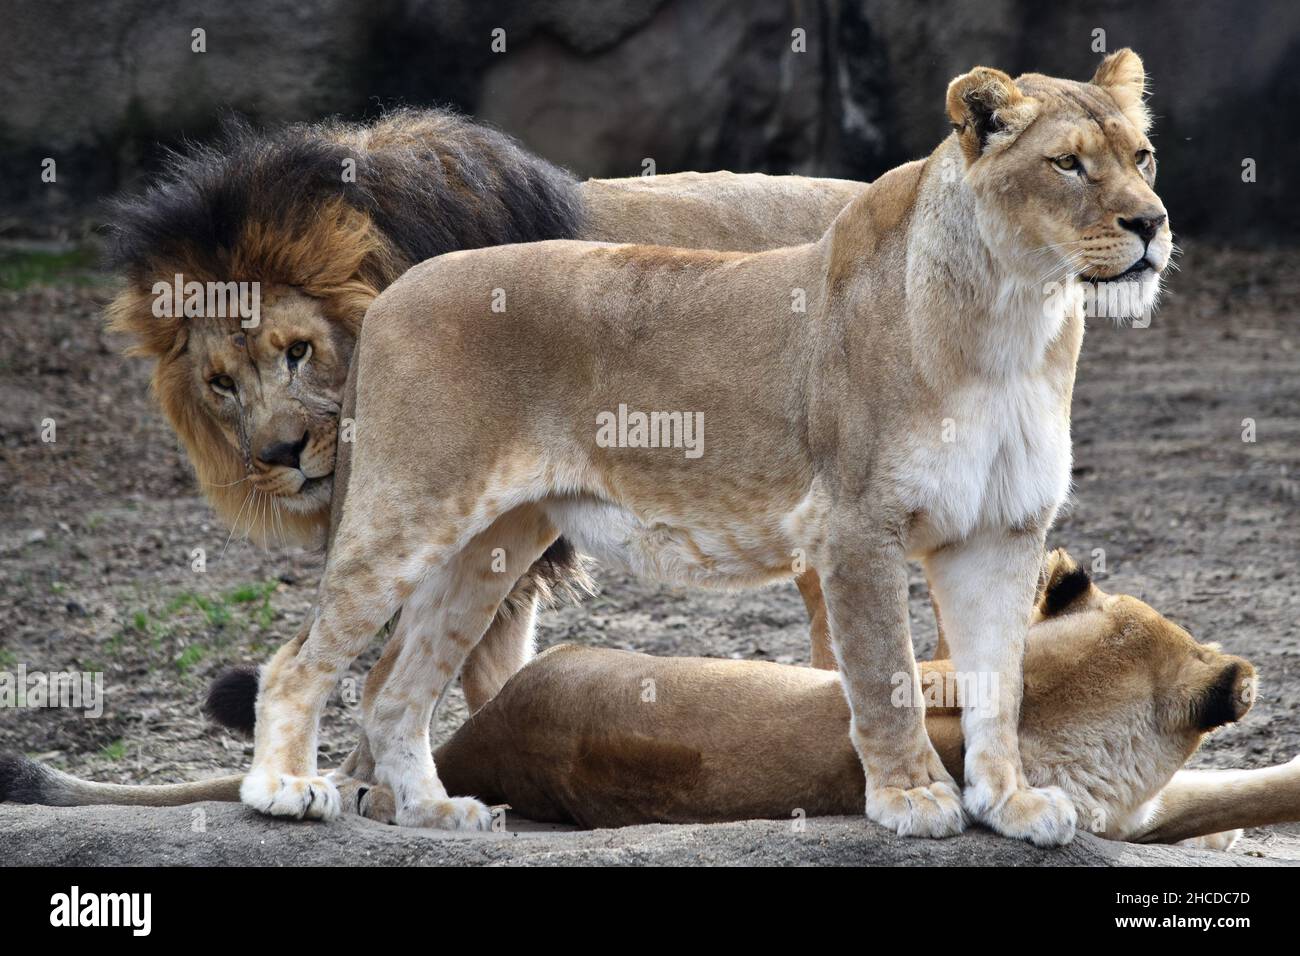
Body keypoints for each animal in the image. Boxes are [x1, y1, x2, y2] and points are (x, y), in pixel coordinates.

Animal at [233, 50, 1172, 847]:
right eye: (1068, 164)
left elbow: (999, 684)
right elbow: (887, 673)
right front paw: (912, 797)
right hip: (406, 512)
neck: (1016, 320)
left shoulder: (1000, 532)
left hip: (493, 542)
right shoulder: (859, 525)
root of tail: (393, 295)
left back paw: (437, 812)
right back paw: (284, 792)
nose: (1153, 223)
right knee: (297, 662)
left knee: (395, 685)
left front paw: (1011, 804)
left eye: (1144, 156)